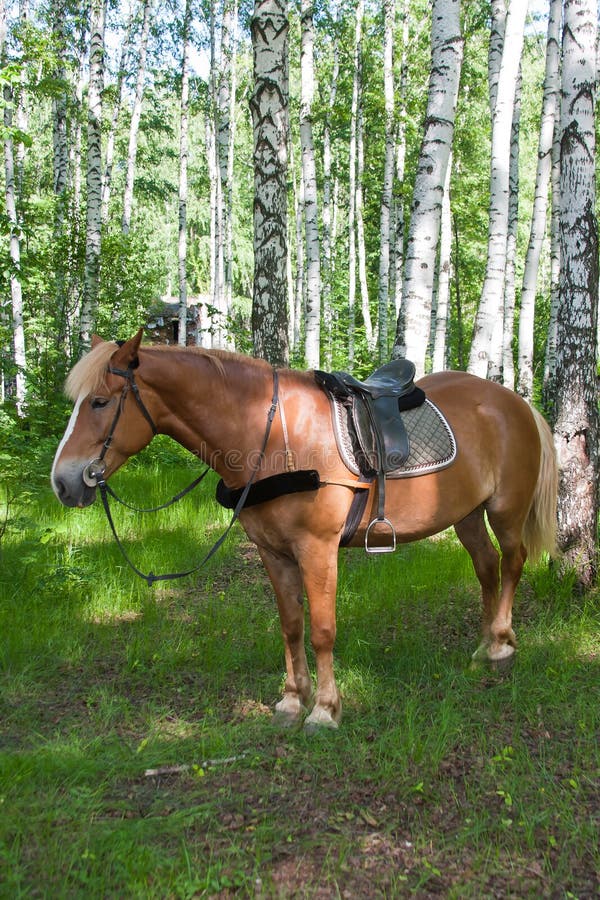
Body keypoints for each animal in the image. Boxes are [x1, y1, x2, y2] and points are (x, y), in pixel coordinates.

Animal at [51, 329, 558, 731]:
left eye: (99, 402)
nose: (63, 482)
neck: (271, 434)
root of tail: (514, 402)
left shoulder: (317, 549)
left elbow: (322, 630)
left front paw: (325, 709)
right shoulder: (272, 552)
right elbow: (291, 625)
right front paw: (293, 700)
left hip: (505, 511)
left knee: (512, 563)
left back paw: (501, 646)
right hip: (466, 514)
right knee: (486, 567)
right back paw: (486, 643)